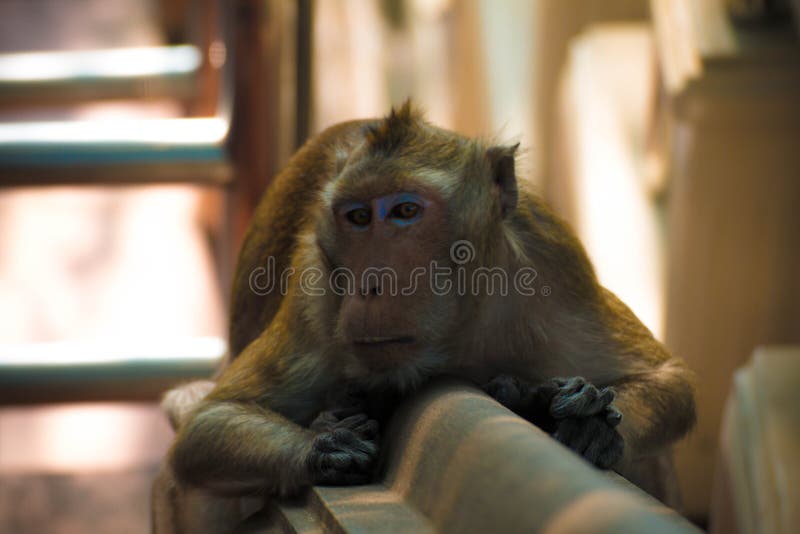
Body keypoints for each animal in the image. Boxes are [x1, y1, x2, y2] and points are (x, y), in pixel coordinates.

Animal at [164, 102, 695, 506]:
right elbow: (205, 427)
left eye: (404, 211)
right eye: (358, 217)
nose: (372, 283)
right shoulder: (316, 299)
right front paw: (326, 445)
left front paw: (590, 427)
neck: (455, 336)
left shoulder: (555, 274)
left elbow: (669, 380)